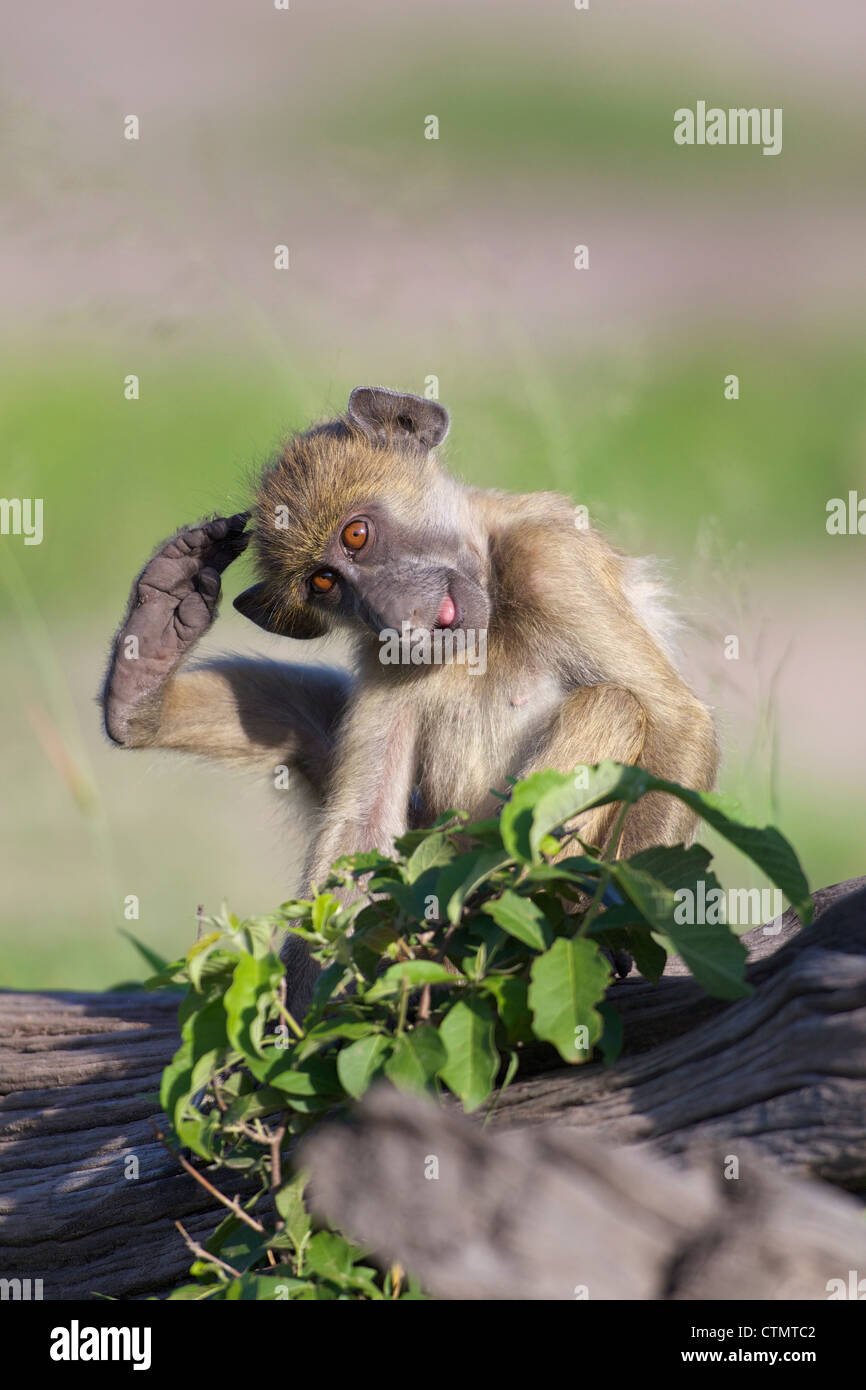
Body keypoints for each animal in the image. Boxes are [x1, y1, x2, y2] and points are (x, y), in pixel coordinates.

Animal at [101, 386, 719, 1016]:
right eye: (324, 583)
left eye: (356, 535)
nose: (394, 616)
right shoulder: (382, 657)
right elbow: (362, 826)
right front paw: (302, 1026)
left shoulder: (551, 559)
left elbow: (676, 720)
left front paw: (616, 923)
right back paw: (142, 674)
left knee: (613, 705)